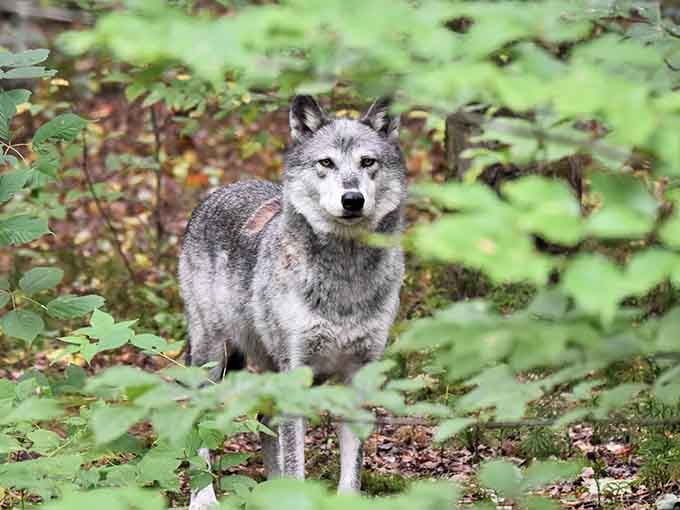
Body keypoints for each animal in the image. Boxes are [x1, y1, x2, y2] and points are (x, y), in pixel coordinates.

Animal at [179, 95, 406, 508]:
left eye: (368, 162)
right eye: (326, 163)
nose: (353, 199)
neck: (345, 280)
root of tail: (218, 192)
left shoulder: (359, 376)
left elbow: (350, 469)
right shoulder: (296, 372)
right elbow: (295, 463)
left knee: (265, 424)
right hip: (211, 356)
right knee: (198, 419)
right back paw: (203, 498)